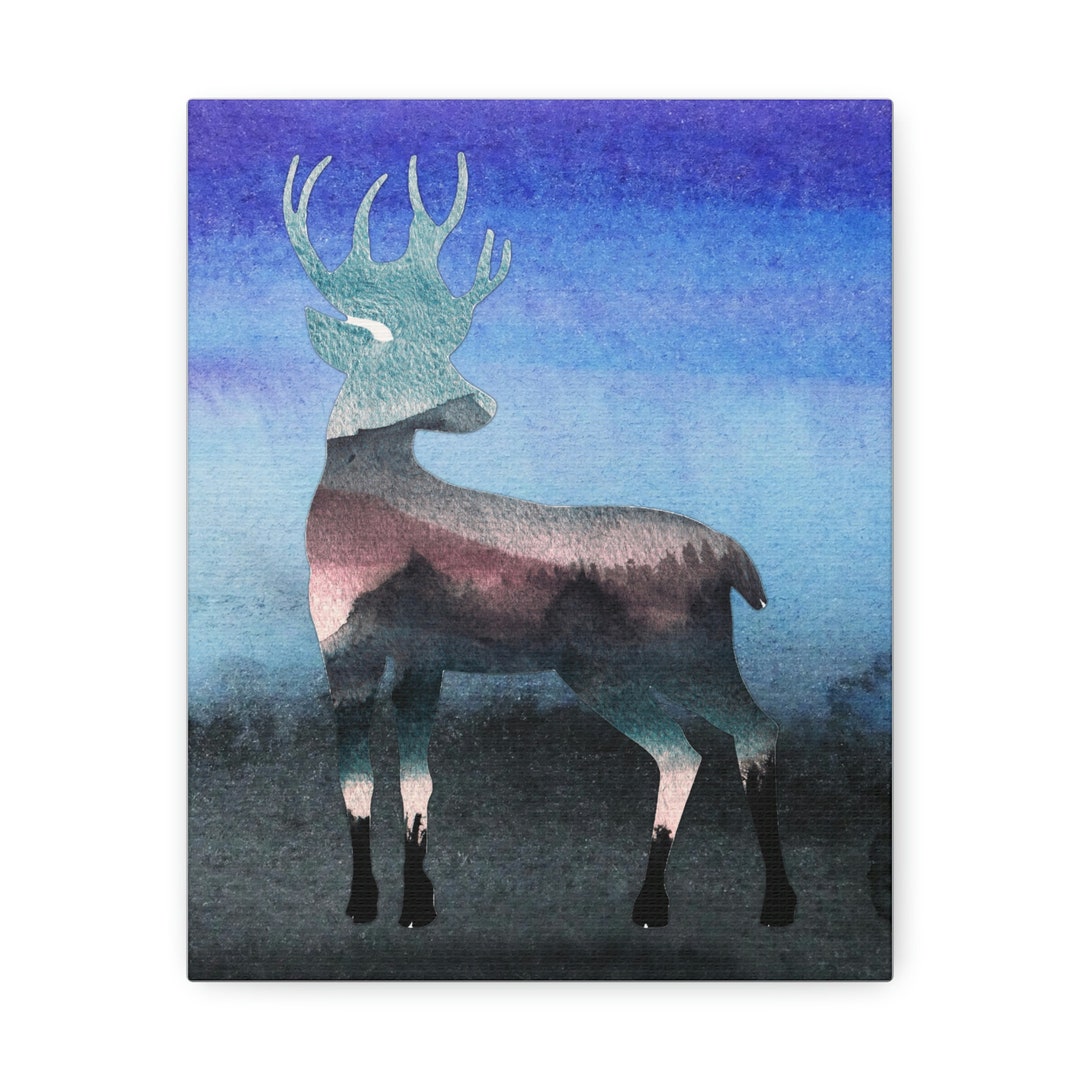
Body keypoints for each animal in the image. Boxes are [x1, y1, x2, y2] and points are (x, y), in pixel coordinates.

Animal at [283, 151, 797, 930]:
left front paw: (383, 904)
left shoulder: (378, 645)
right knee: (691, 750)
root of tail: (732, 555)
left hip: (678, 657)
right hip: (614, 670)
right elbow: (390, 781)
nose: (481, 404)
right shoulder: (380, 653)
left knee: (747, 733)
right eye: (382, 335)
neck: (363, 524)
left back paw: (766, 904)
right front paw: (399, 903)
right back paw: (656, 904)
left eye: (447, 342)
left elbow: (384, 780)